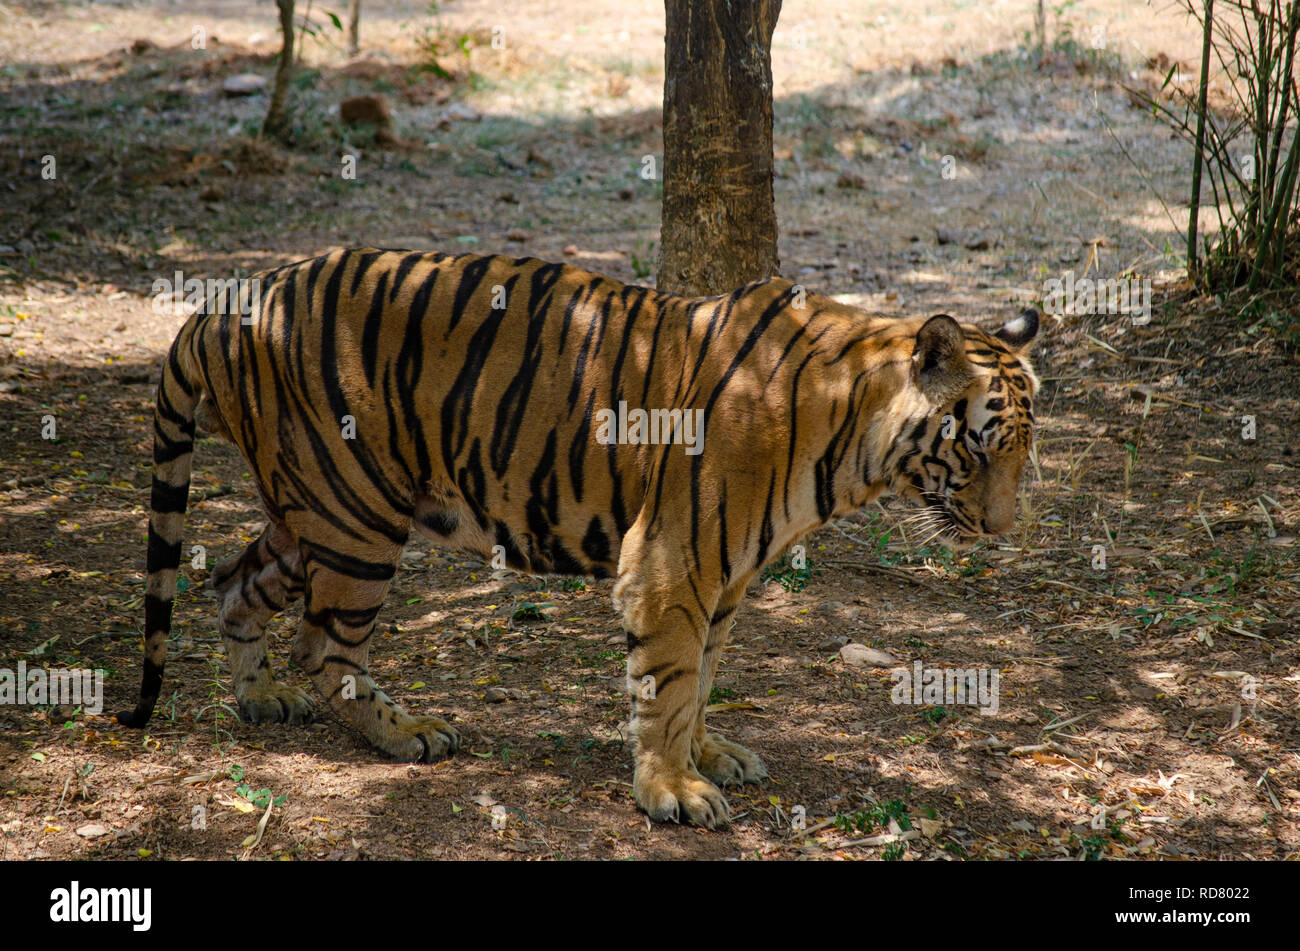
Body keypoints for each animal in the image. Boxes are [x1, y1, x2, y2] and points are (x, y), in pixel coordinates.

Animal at [117, 247, 1039, 828]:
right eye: (980, 447)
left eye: (1026, 451)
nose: (1003, 529)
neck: (852, 433)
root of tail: (225, 307)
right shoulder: (672, 566)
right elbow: (668, 684)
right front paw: (672, 791)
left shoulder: (727, 580)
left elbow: (703, 679)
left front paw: (709, 755)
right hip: (357, 515)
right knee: (325, 648)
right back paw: (408, 733)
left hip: (314, 511)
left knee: (233, 583)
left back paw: (260, 696)